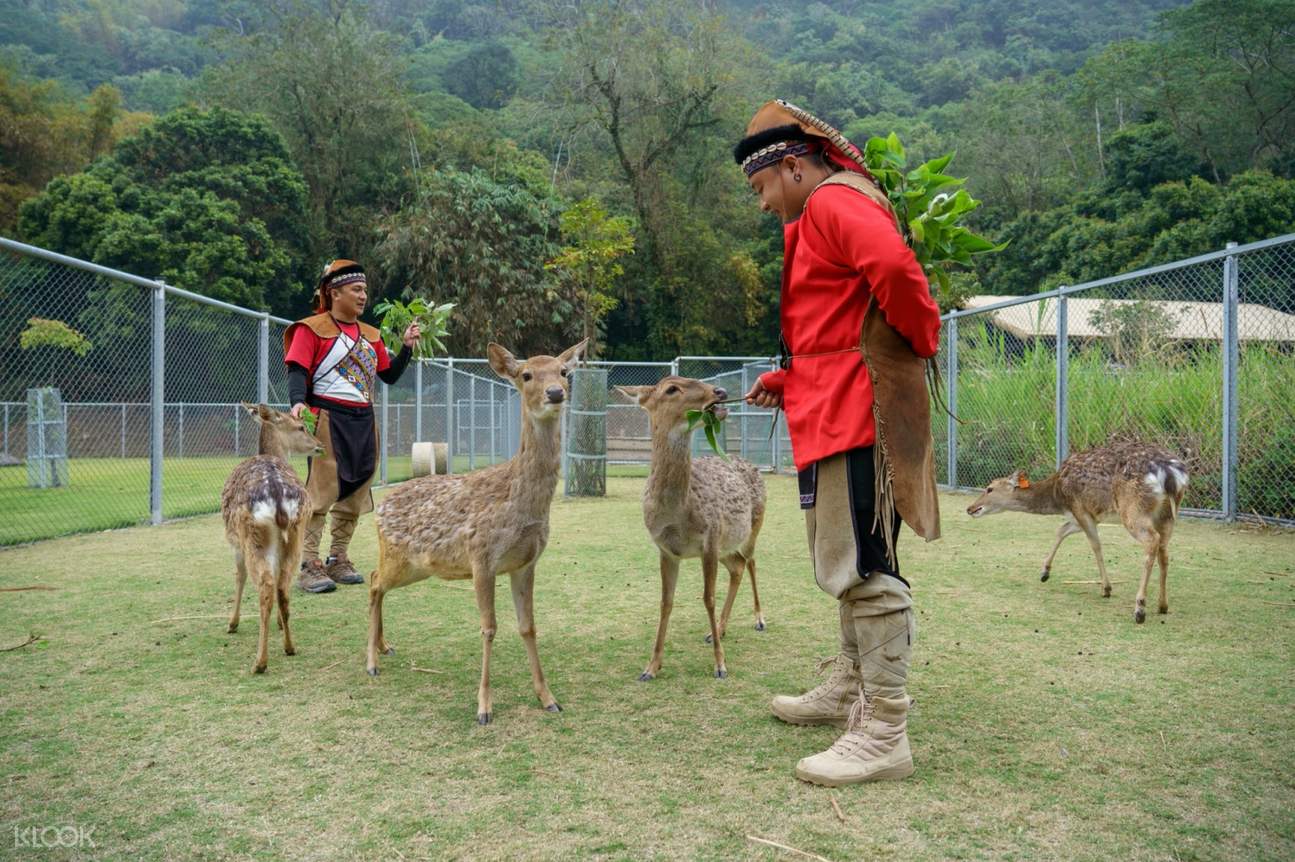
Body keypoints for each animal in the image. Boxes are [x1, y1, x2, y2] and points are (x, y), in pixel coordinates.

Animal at [222, 402, 324, 673]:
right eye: (301, 427)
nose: (320, 444)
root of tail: (278, 500)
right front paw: (278, 624)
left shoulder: (235, 542)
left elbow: (239, 576)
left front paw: (232, 623)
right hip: (296, 534)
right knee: (283, 587)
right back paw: (289, 646)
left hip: (254, 537)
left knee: (266, 588)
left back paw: (260, 661)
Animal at [366, 339, 586, 725]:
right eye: (526, 374)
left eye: (563, 371)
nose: (556, 393)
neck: (520, 505)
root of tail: (381, 506)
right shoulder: (481, 556)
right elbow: (489, 628)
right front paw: (484, 707)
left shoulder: (525, 563)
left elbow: (528, 626)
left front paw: (548, 698)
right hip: (398, 557)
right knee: (374, 582)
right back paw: (371, 661)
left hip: (415, 567)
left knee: (376, 582)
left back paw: (385, 646)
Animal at [616, 377, 767, 681]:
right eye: (671, 389)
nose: (720, 391)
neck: (677, 514)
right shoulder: (666, 550)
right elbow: (666, 602)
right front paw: (651, 667)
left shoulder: (708, 540)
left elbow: (708, 598)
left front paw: (720, 665)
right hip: (726, 546)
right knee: (737, 566)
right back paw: (718, 630)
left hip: (751, 527)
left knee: (751, 561)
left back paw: (758, 619)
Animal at [965, 440, 1189, 623]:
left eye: (990, 488)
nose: (970, 508)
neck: (1058, 496)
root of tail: (1170, 473)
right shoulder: (1081, 516)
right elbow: (1061, 530)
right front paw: (1044, 572)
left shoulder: (1081, 509)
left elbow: (1095, 545)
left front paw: (1106, 589)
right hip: (1168, 514)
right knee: (1164, 551)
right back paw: (1162, 605)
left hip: (1133, 510)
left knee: (1151, 541)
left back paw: (1140, 609)